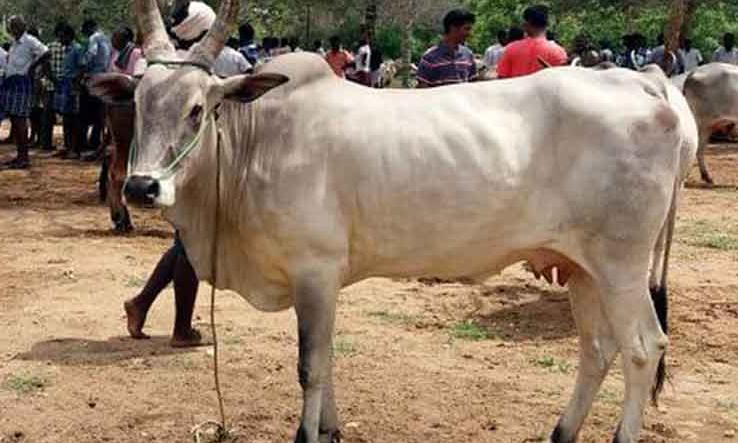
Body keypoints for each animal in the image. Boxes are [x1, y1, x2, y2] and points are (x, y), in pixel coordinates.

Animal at [93, 0, 698, 441]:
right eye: (139, 105)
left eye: (198, 109)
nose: (142, 187)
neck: (255, 141)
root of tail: (646, 82)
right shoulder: (324, 283)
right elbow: (328, 360)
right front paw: (333, 430)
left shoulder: (315, 272)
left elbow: (311, 366)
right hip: (582, 269)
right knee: (597, 350)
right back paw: (560, 433)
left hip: (622, 266)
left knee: (643, 349)